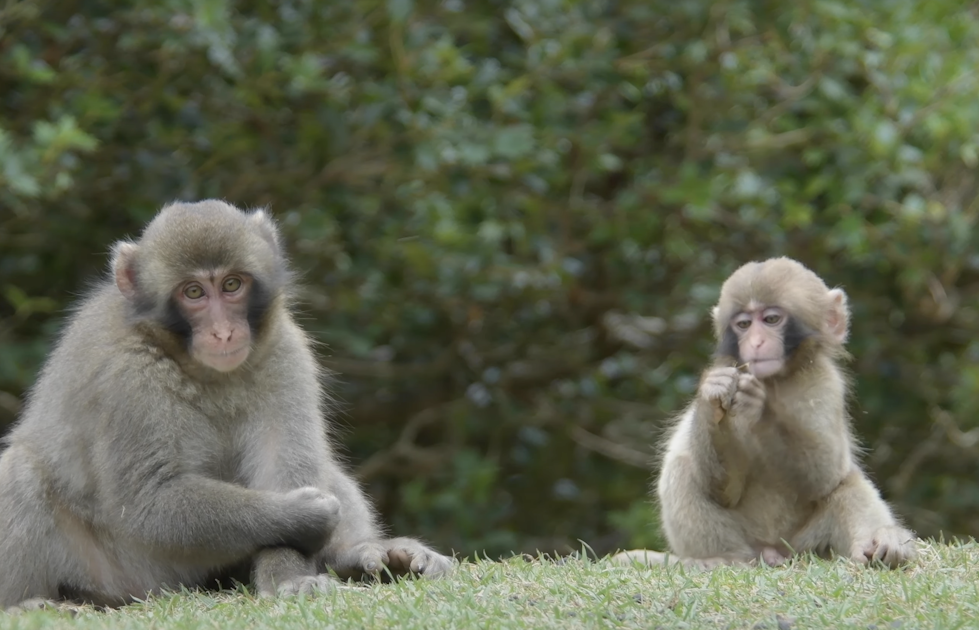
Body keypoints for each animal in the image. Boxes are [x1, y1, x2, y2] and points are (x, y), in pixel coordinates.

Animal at [0, 200, 456, 611]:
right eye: (194, 292)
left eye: (232, 285)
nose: (222, 332)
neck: (197, 367)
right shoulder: (125, 377)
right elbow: (147, 501)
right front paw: (302, 517)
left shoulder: (284, 350)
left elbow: (285, 467)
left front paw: (291, 575)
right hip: (126, 573)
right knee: (20, 471)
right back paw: (27, 605)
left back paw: (361, 556)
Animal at [611, 257, 916, 570]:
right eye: (744, 324)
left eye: (771, 320)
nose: (756, 342)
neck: (774, 381)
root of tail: (772, 552)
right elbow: (723, 491)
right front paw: (712, 398)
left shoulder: (827, 385)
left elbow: (825, 476)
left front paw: (759, 409)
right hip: (743, 543)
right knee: (683, 465)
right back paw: (719, 560)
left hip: (805, 546)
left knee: (847, 481)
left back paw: (881, 545)